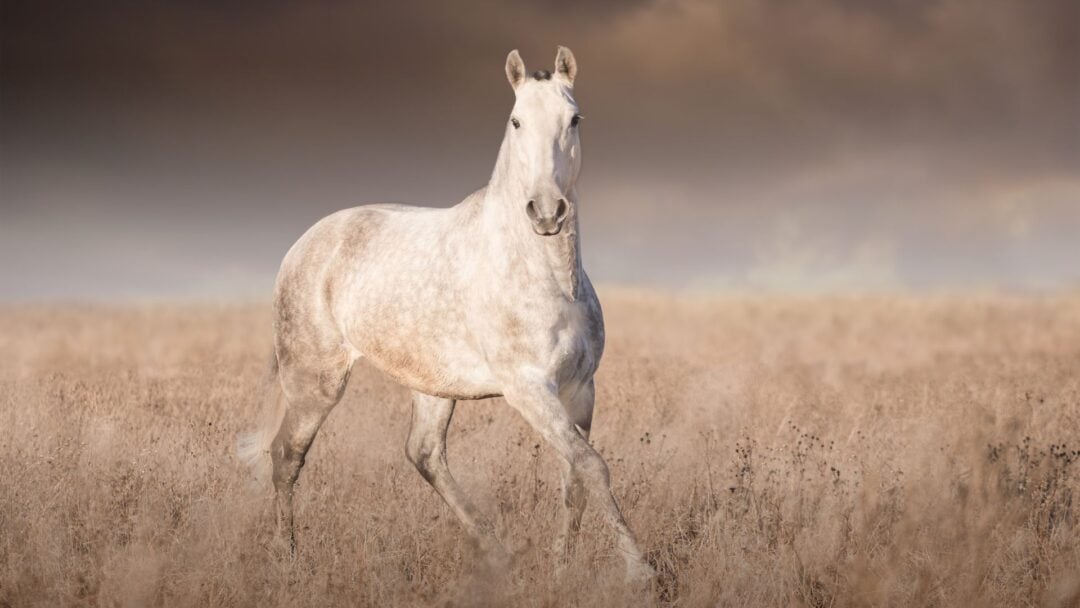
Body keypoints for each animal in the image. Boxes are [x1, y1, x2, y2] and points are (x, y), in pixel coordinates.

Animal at [238, 46, 654, 581]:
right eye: (516, 121)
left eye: (574, 119)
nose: (546, 212)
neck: (550, 277)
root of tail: (305, 243)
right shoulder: (528, 389)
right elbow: (592, 467)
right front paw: (641, 574)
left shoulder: (580, 389)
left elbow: (574, 477)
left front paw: (561, 570)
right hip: (315, 382)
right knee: (286, 456)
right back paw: (288, 562)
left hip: (432, 386)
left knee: (424, 453)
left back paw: (498, 554)